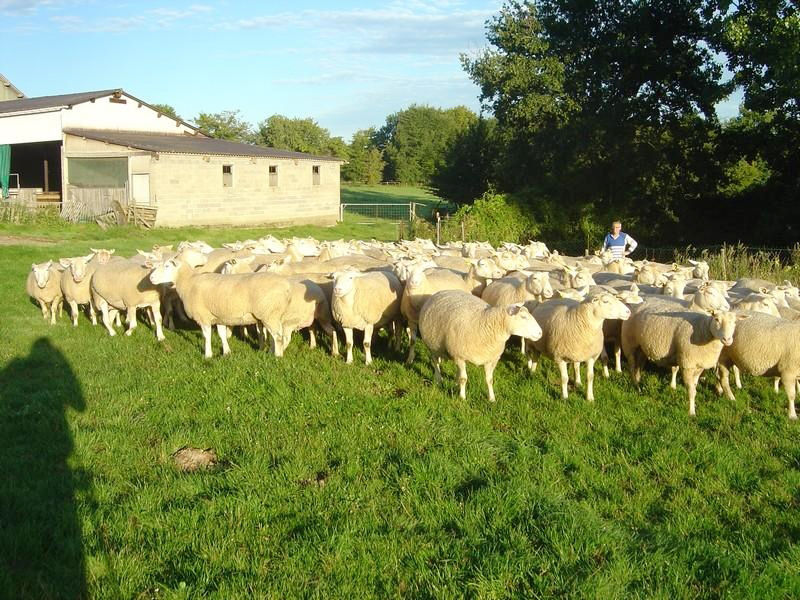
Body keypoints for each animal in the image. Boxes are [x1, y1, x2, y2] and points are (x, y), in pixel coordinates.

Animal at [148, 248, 293, 358]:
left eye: (167, 266)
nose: (151, 278)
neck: (188, 282)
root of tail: (286, 286)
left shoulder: (203, 316)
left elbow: (207, 336)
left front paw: (208, 355)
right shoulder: (219, 316)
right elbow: (222, 334)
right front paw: (227, 352)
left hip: (269, 314)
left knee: (278, 337)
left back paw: (277, 356)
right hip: (272, 316)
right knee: (276, 336)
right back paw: (271, 352)